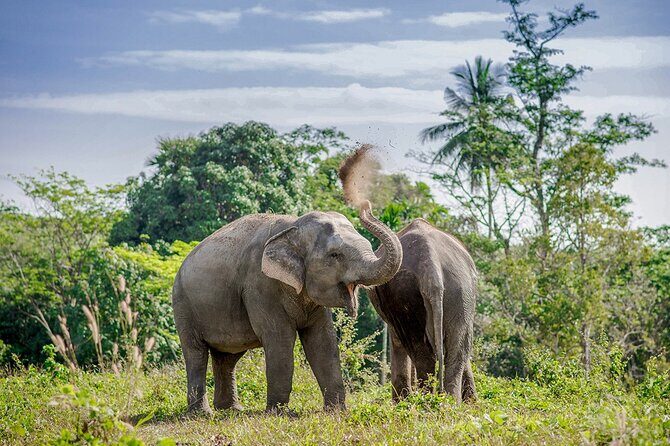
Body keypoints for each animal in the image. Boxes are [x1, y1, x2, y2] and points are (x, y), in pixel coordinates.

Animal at [172, 201, 402, 415]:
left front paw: (337, 411)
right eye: (335, 255)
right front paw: (280, 413)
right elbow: (280, 338)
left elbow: (322, 342)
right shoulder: (260, 285)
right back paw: (203, 413)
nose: (366, 205)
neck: (293, 226)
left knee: (227, 357)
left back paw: (232, 409)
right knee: (196, 354)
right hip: (183, 306)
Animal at [368, 218, 477, 403]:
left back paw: (426, 403)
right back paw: (447, 404)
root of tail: (431, 265)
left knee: (420, 351)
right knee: (456, 351)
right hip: (461, 292)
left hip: (407, 293)